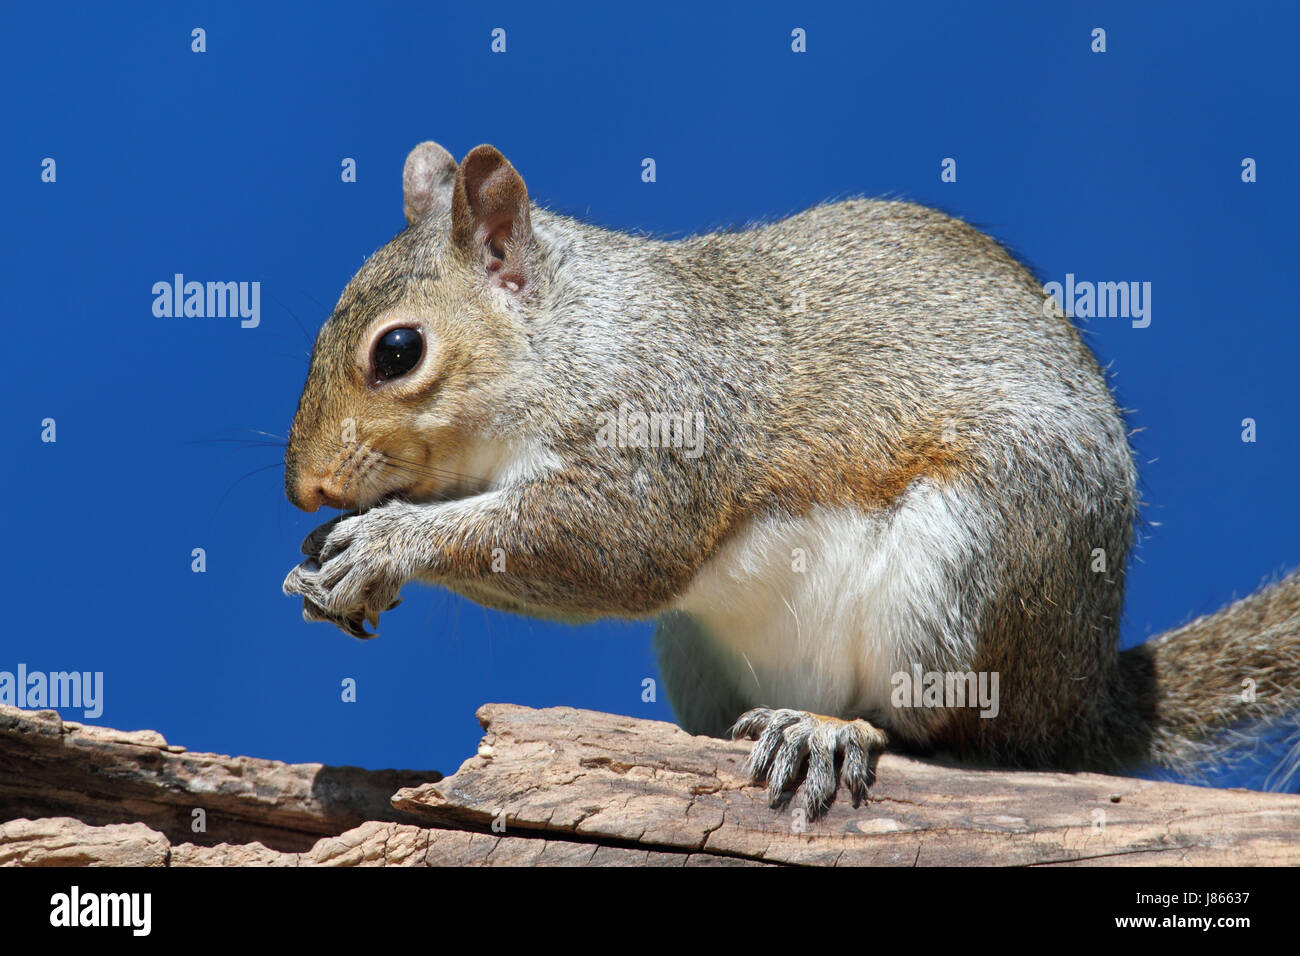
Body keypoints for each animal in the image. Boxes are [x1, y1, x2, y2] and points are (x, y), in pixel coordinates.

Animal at [282, 140, 1300, 818]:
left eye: (399, 352)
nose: (306, 489)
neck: (573, 335)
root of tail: (1081, 696)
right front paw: (322, 560)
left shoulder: (666, 423)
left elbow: (611, 550)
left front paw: (384, 544)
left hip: (967, 572)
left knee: (960, 740)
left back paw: (835, 732)